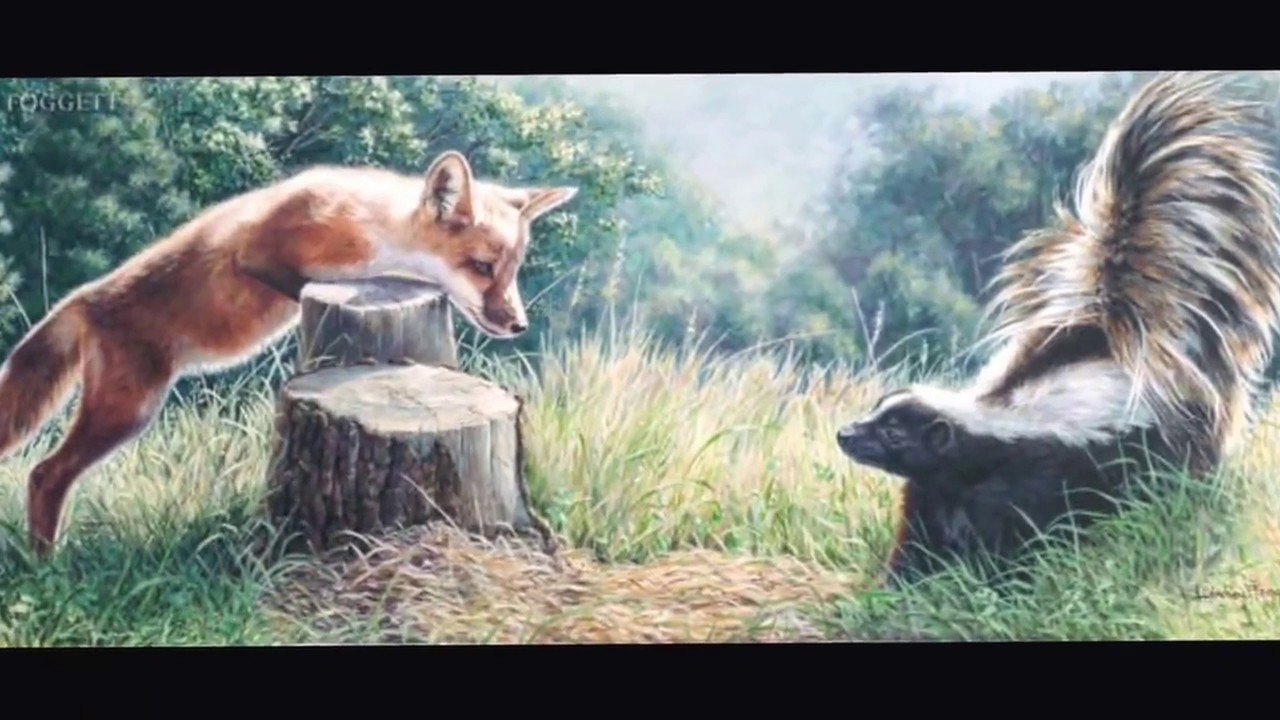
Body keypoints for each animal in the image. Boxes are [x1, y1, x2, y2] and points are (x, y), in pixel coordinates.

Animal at [0, 149, 577, 558]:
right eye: (482, 267)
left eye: (513, 270)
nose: (518, 324)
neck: (371, 226)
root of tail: (84, 298)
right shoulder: (258, 252)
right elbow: (303, 283)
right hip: (129, 410)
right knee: (44, 475)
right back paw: (45, 564)